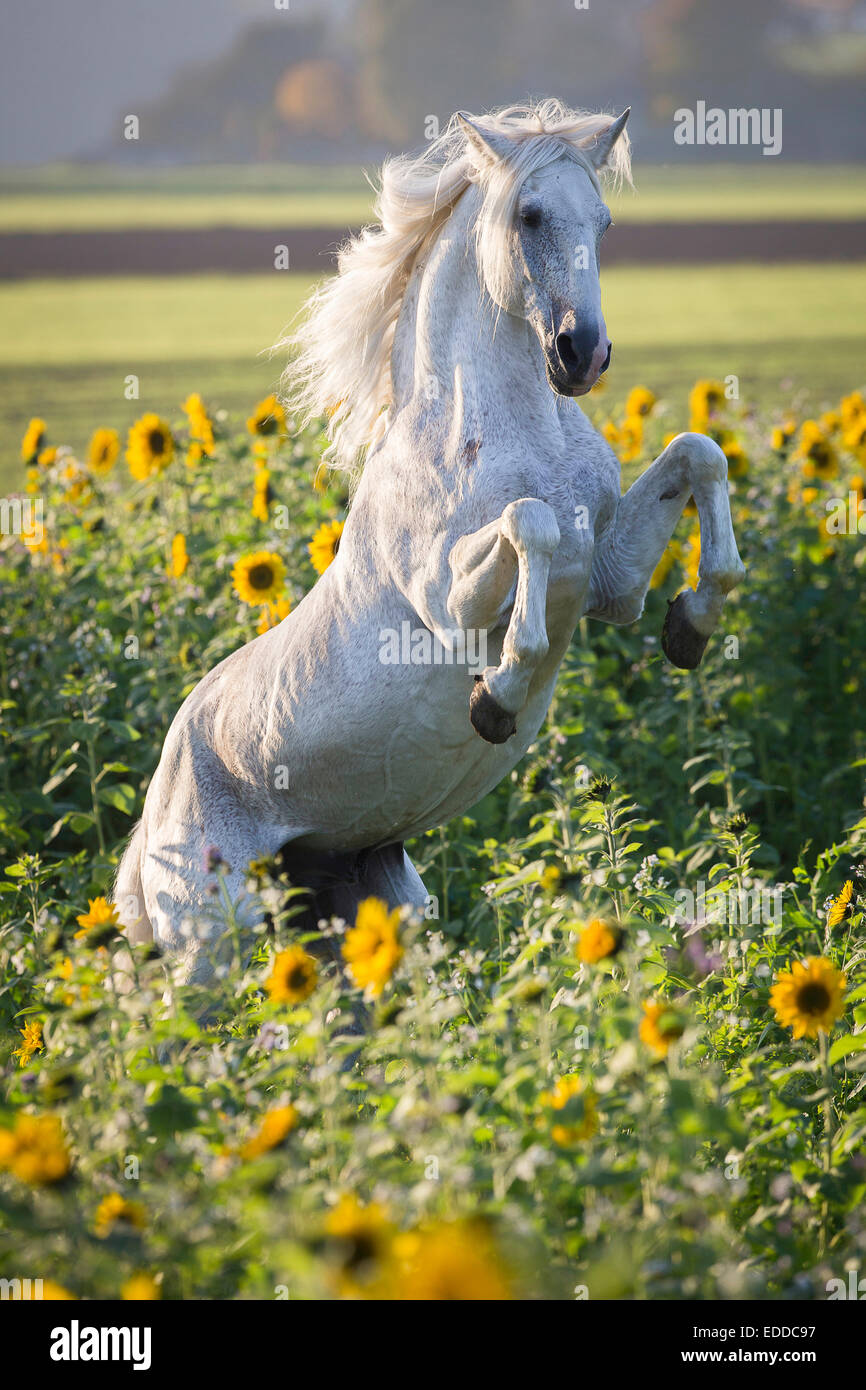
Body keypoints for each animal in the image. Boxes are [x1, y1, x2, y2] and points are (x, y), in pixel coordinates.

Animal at [114, 99, 745, 985]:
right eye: (529, 215)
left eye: (604, 221)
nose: (582, 354)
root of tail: (152, 814)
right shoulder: (454, 604)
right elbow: (530, 523)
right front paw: (497, 699)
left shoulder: (611, 584)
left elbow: (700, 452)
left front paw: (692, 625)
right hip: (213, 951)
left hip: (366, 918)